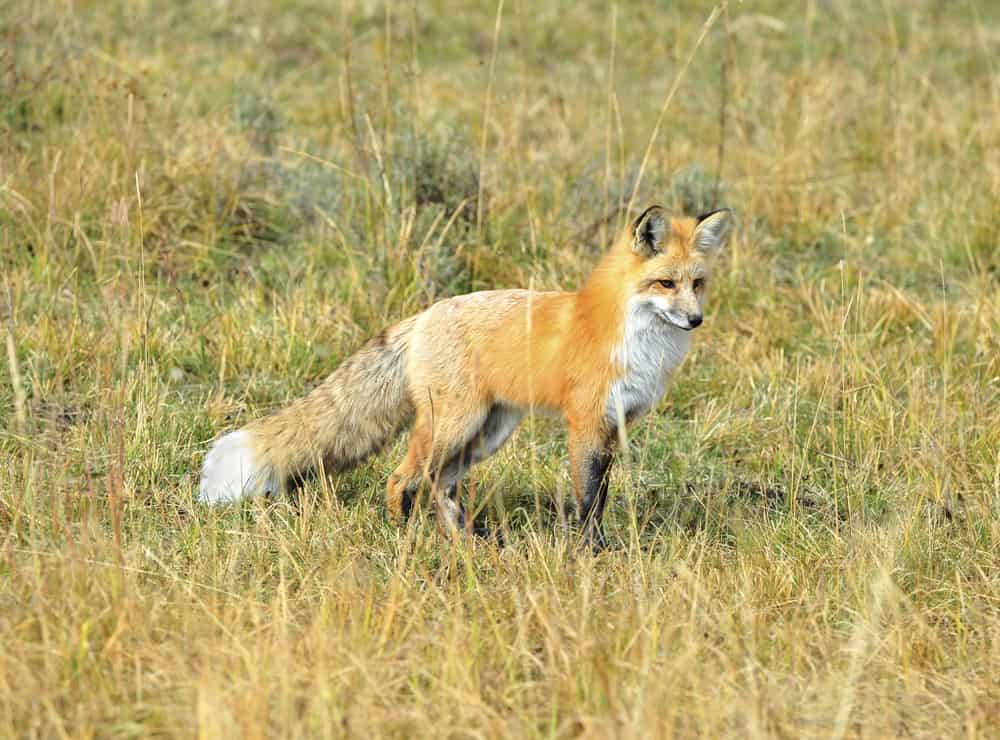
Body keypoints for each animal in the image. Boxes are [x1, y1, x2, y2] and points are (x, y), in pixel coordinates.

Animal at [199, 205, 732, 548]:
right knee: (402, 478)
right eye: (666, 283)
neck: (629, 337)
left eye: (697, 283)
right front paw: (591, 552)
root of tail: (423, 315)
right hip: (453, 425)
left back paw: (465, 539)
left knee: (440, 484)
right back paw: (403, 536)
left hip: (487, 432)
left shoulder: (615, 425)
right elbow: (587, 500)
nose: (696, 320)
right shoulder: (585, 422)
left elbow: (598, 496)